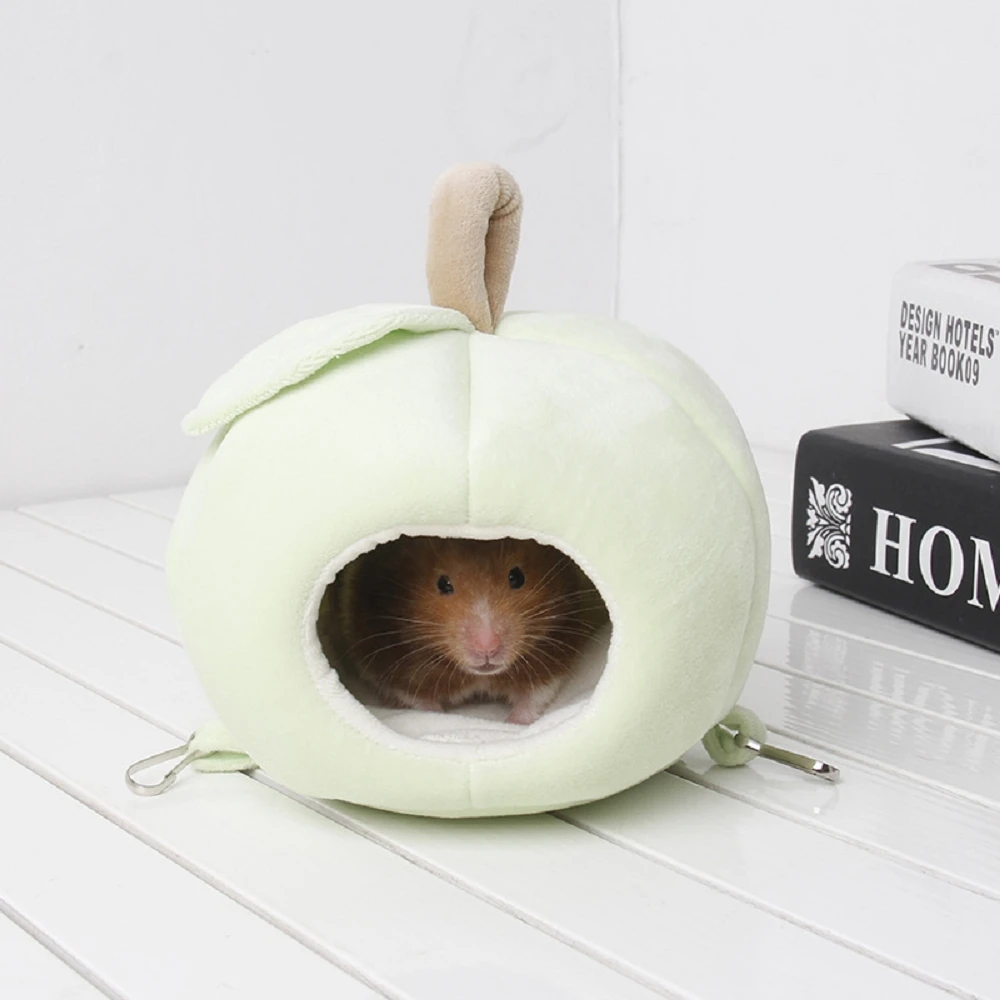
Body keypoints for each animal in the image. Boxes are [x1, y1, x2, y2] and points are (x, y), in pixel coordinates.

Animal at [318, 536, 608, 725]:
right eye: (443, 583)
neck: (480, 676)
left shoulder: (553, 653)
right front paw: (441, 715)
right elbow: (420, 703)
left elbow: (535, 696)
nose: (487, 649)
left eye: (517, 577)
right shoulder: (385, 663)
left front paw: (512, 724)